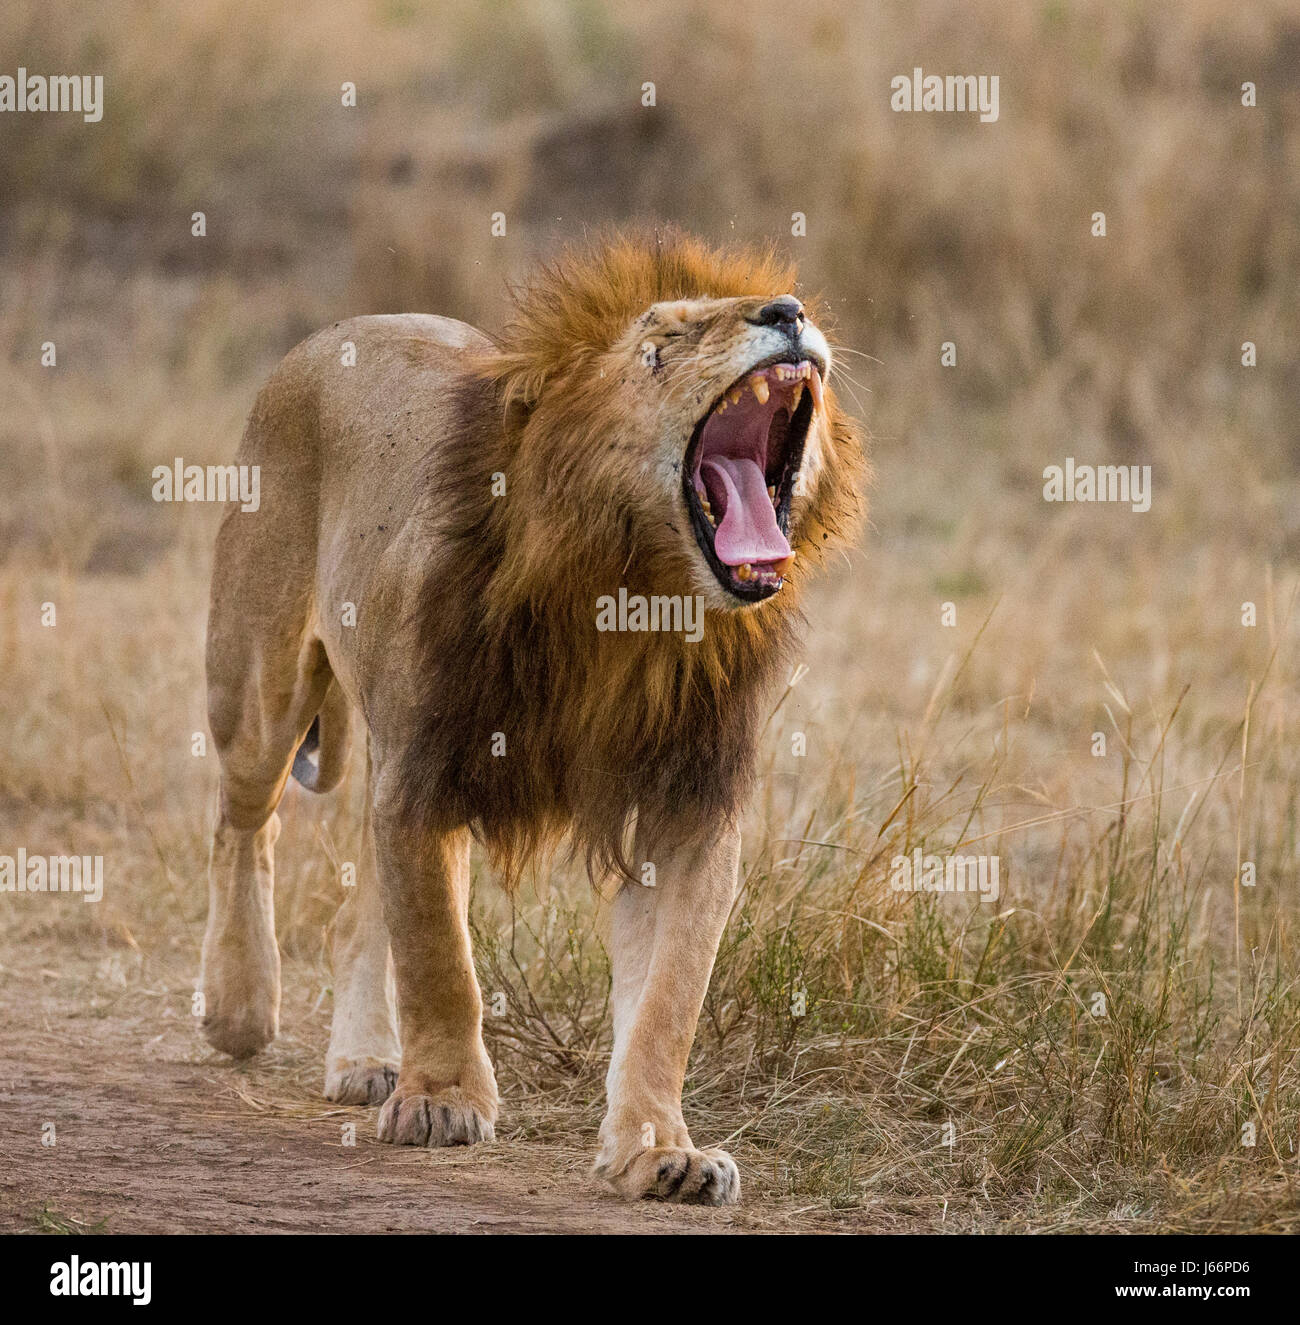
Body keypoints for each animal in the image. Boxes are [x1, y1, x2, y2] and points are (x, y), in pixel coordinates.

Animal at [199, 228, 866, 1204]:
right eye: (660, 344)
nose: (789, 311)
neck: (632, 603)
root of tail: (338, 329)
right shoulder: (428, 767)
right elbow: (443, 958)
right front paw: (442, 1102)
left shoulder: (687, 811)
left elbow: (667, 1000)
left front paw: (661, 1149)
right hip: (261, 683)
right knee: (245, 818)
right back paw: (239, 1005)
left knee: (361, 893)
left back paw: (364, 1058)